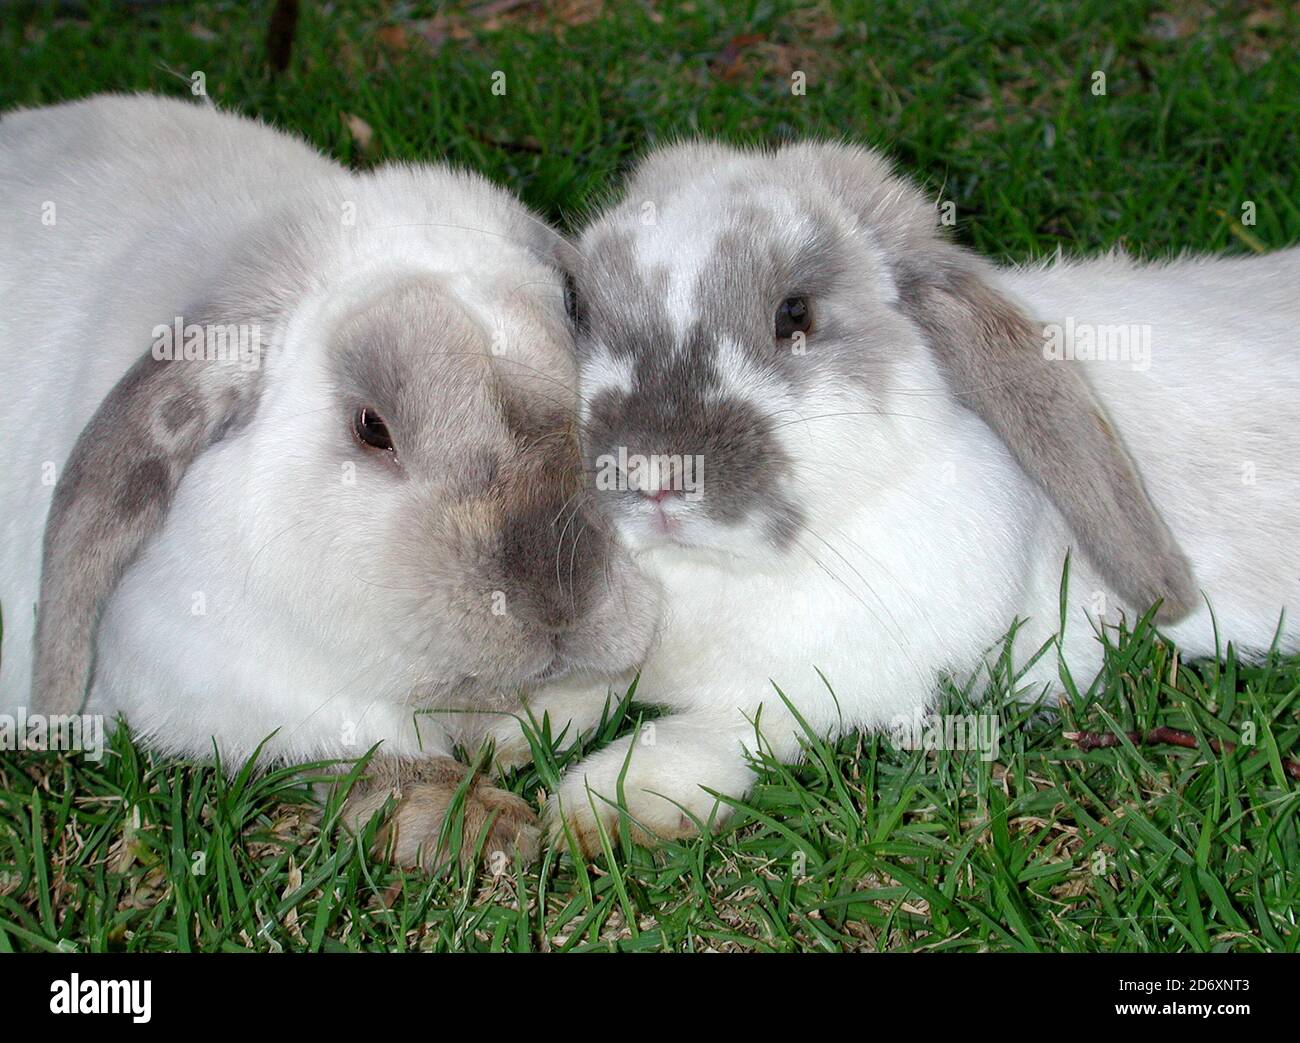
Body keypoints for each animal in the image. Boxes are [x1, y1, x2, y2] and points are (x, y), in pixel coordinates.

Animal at [489, 140, 1300, 854]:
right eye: (579, 310)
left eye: (795, 314)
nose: (652, 471)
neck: (715, 574)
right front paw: (500, 725)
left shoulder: (842, 681)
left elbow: (733, 724)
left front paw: (609, 799)